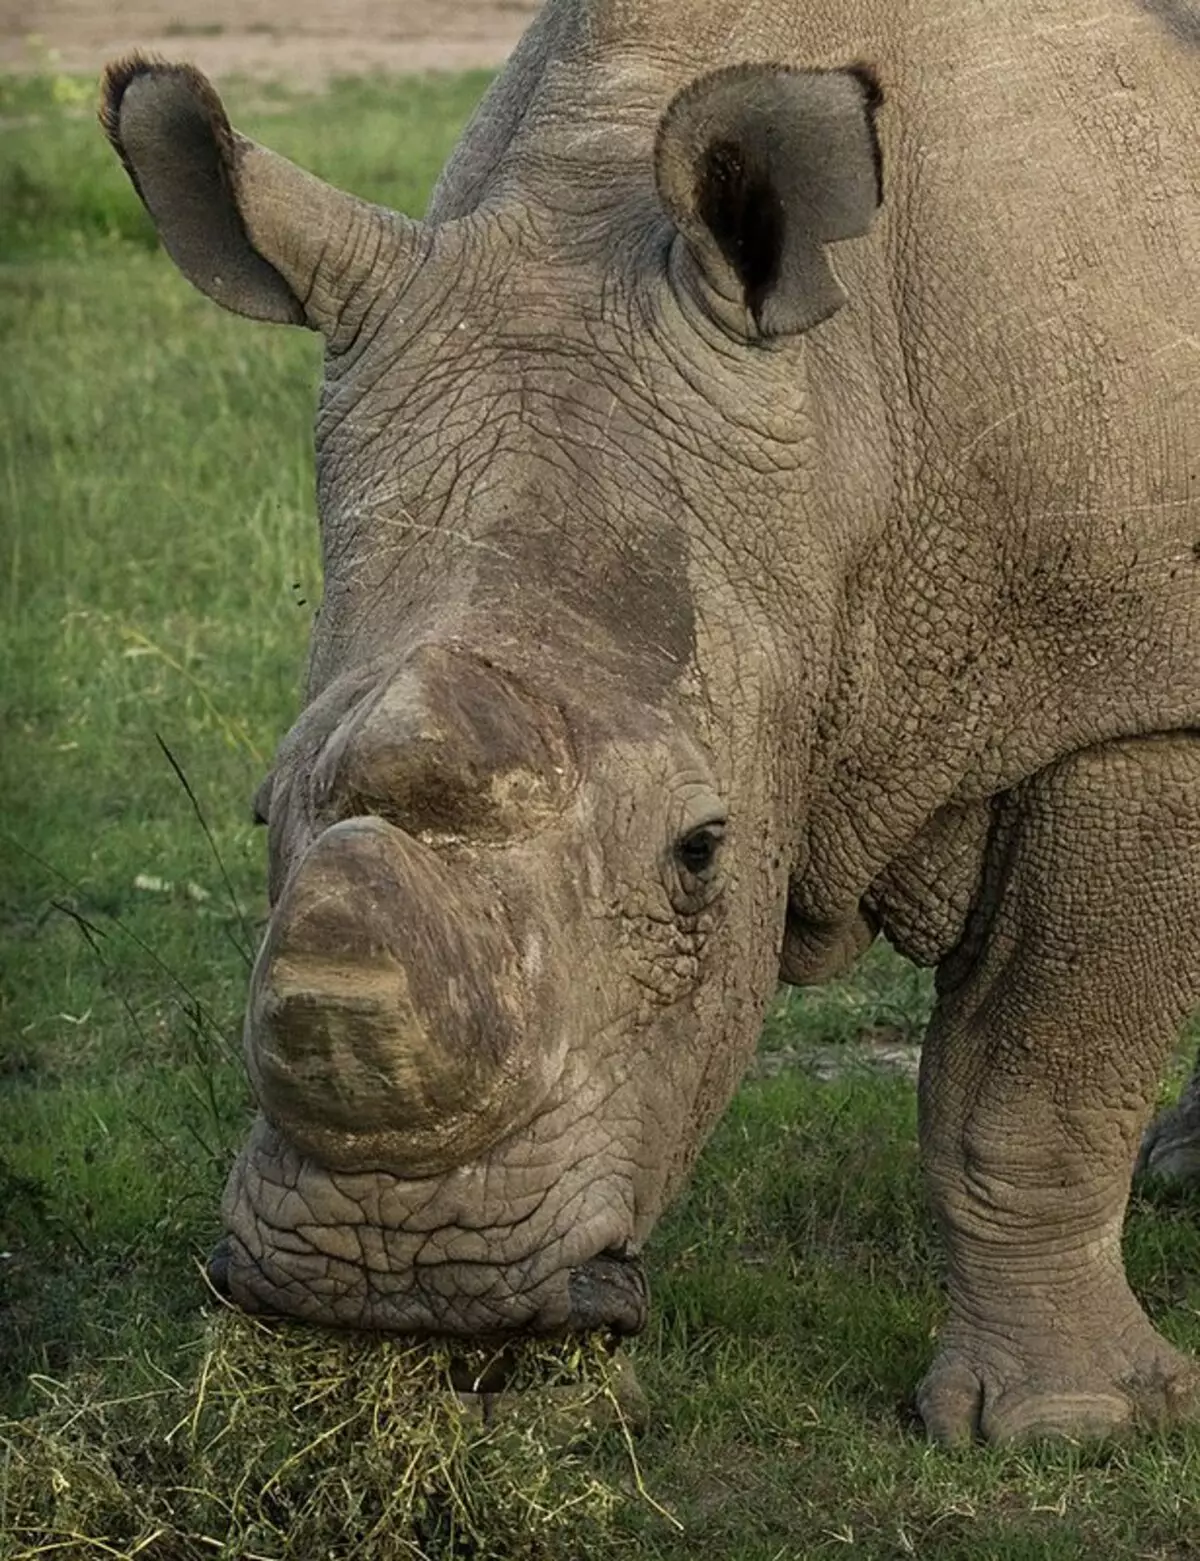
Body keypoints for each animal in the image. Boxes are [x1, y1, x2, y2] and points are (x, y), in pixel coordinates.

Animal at [100, 0, 1198, 1448]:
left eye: (700, 851)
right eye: (261, 810)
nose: (399, 1279)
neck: (846, 410)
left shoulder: (1130, 702)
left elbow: (1035, 1069)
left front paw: (1064, 1427)